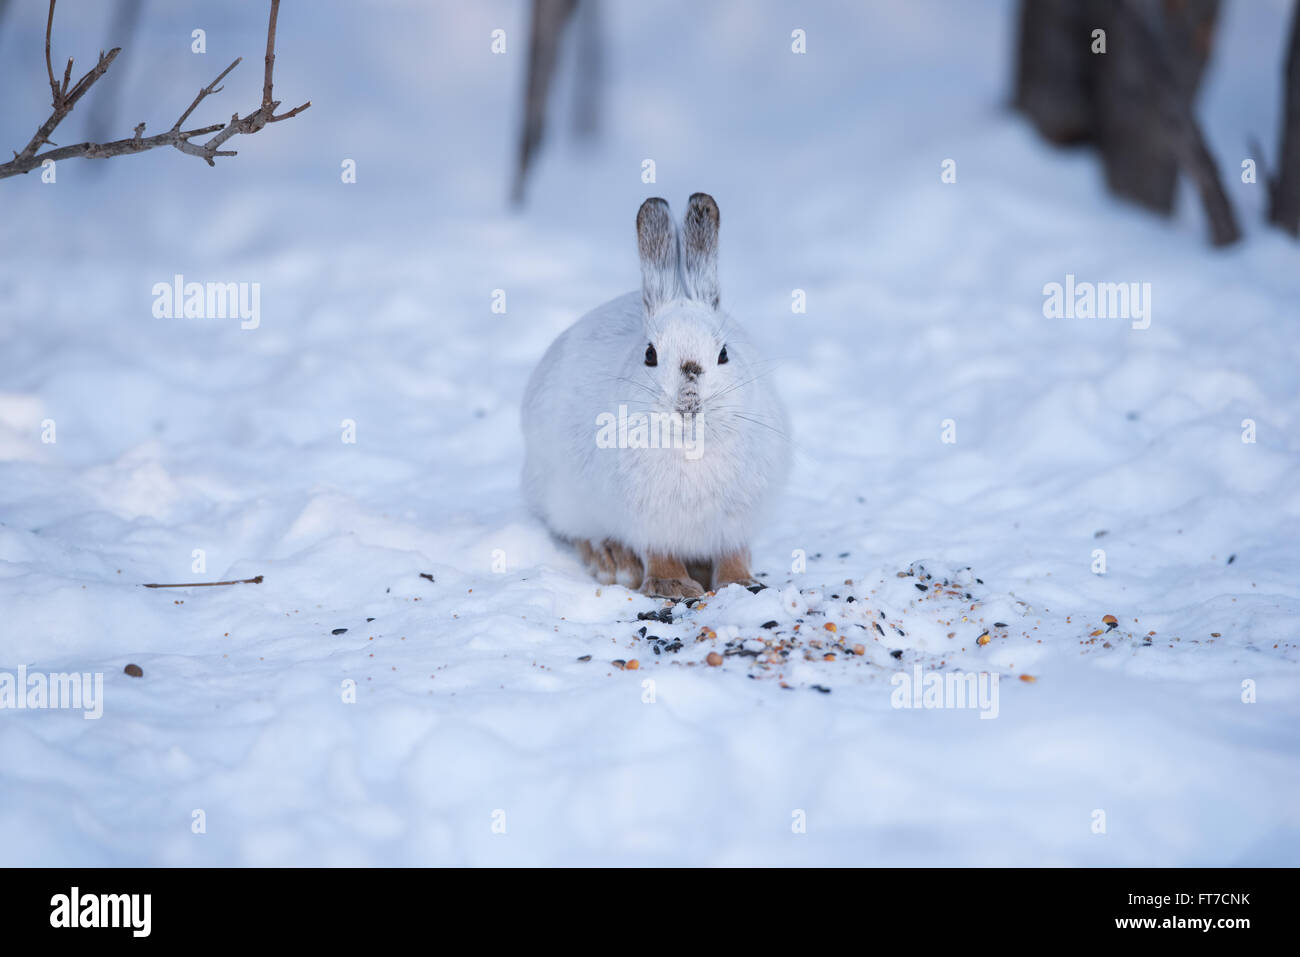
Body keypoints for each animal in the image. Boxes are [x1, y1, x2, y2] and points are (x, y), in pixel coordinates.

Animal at [521, 193, 791, 599]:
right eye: (650, 354)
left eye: (724, 353)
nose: (689, 405)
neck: (691, 448)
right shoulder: (648, 521)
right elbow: (660, 553)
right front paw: (672, 586)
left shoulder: (735, 523)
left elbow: (733, 554)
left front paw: (742, 583)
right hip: (563, 496)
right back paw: (614, 563)